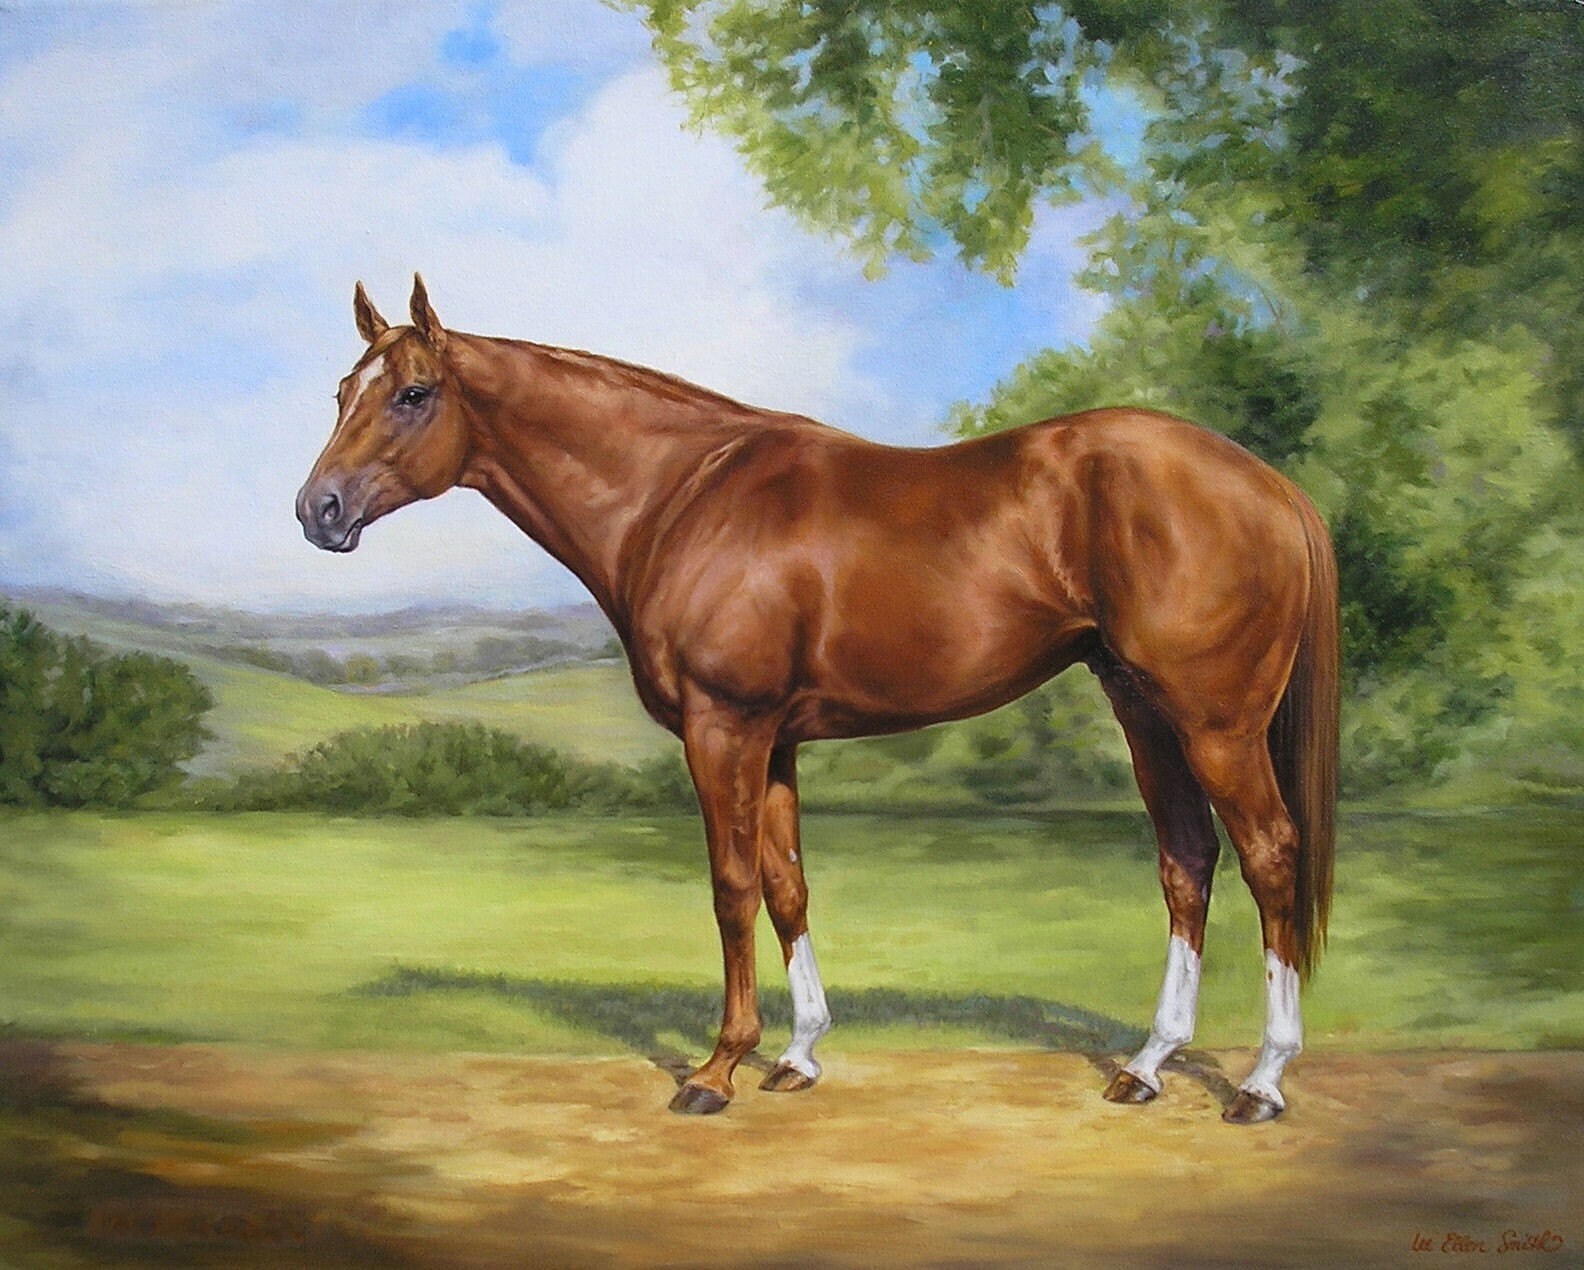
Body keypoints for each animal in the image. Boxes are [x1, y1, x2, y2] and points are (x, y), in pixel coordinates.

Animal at [298, 276, 1338, 1124]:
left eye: (414, 393)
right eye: (344, 391)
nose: (319, 510)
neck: (682, 495)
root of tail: (1272, 485)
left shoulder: (723, 727)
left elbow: (730, 887)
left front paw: (716, 1069)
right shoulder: (777, 740)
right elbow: (787, 883)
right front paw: (797, 1057)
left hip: (1215, 725)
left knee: (1270, 856)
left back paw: (1261, 1082)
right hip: (1143, 712)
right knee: (1188, 861)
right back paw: (1148, 1066)